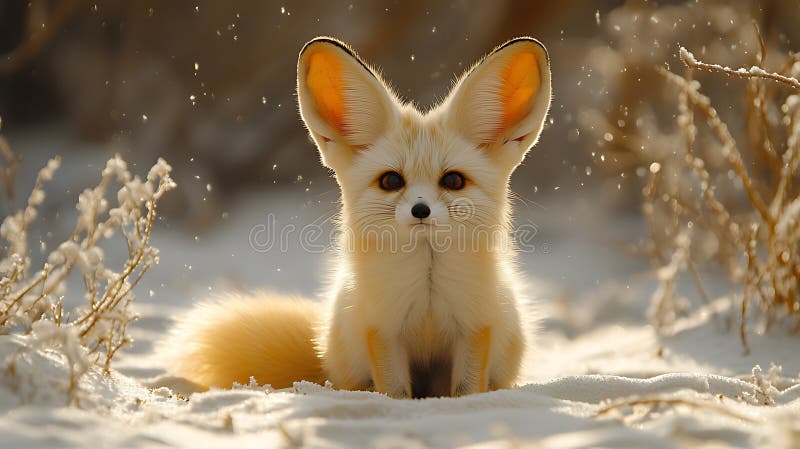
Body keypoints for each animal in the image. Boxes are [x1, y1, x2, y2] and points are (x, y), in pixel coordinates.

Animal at [166, 36, 551, 398]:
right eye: (391, 181)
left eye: (453, 181)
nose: (421, 210)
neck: (426, 284)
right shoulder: (382, 329)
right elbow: (395, 392)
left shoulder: (475, 327)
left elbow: (466, 390)